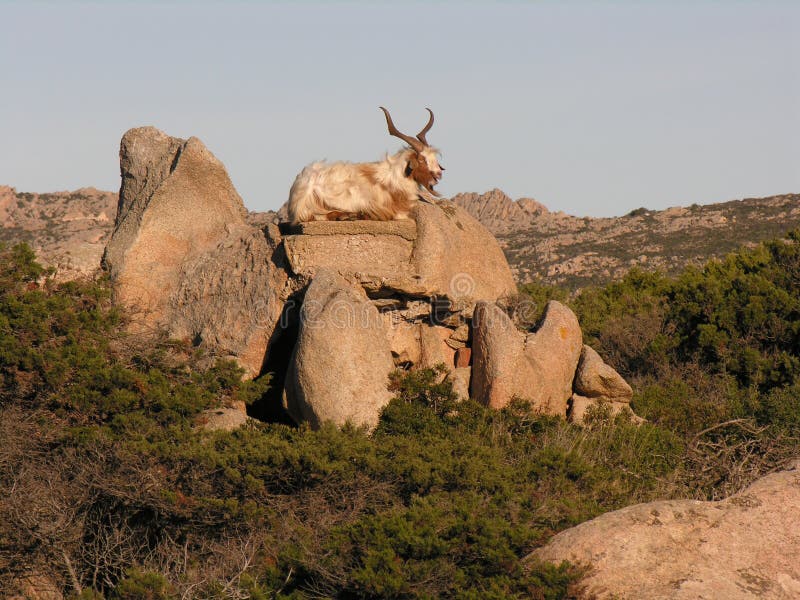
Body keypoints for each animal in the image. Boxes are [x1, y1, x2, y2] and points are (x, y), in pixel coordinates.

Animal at [287, 107, 444, 224]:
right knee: (316, 216)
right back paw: (346, 215)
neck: (391, 180)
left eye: (434, 158)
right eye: (422, 160)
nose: (438, 174)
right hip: (311, 207)